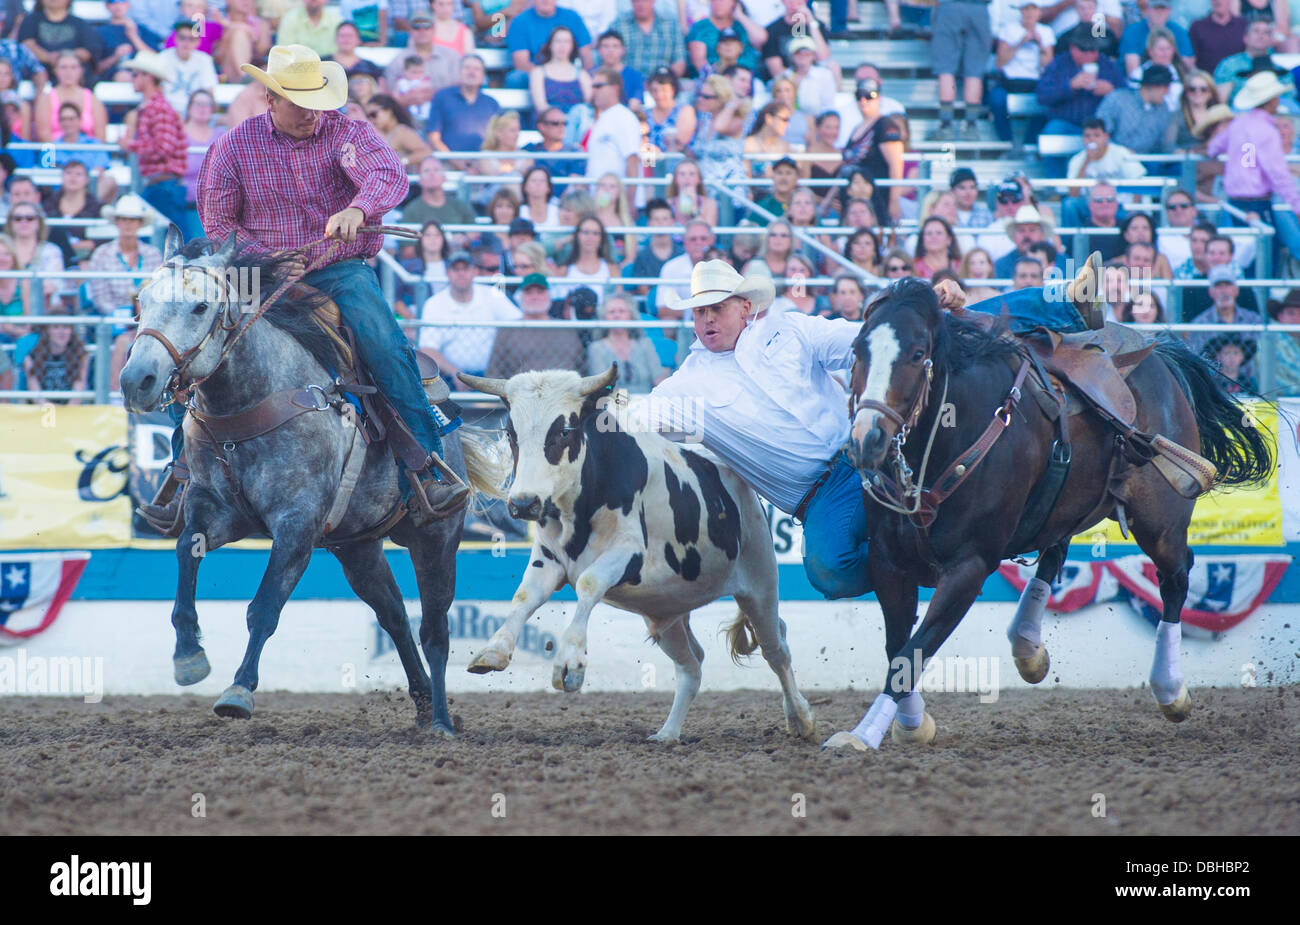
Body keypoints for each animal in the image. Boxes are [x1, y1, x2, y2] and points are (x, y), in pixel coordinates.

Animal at [457, 365, 818, 744]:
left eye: (564, 431)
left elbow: (588, 584)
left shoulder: (628, 553)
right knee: (691, 665)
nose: (524, 503)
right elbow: (526, 596)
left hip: (760, 584)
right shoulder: (547, 558)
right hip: (666, 609)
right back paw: (668, 733)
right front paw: (494, 649)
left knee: (776, 650)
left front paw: (571, 661)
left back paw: (800, 719)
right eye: (511, 433)